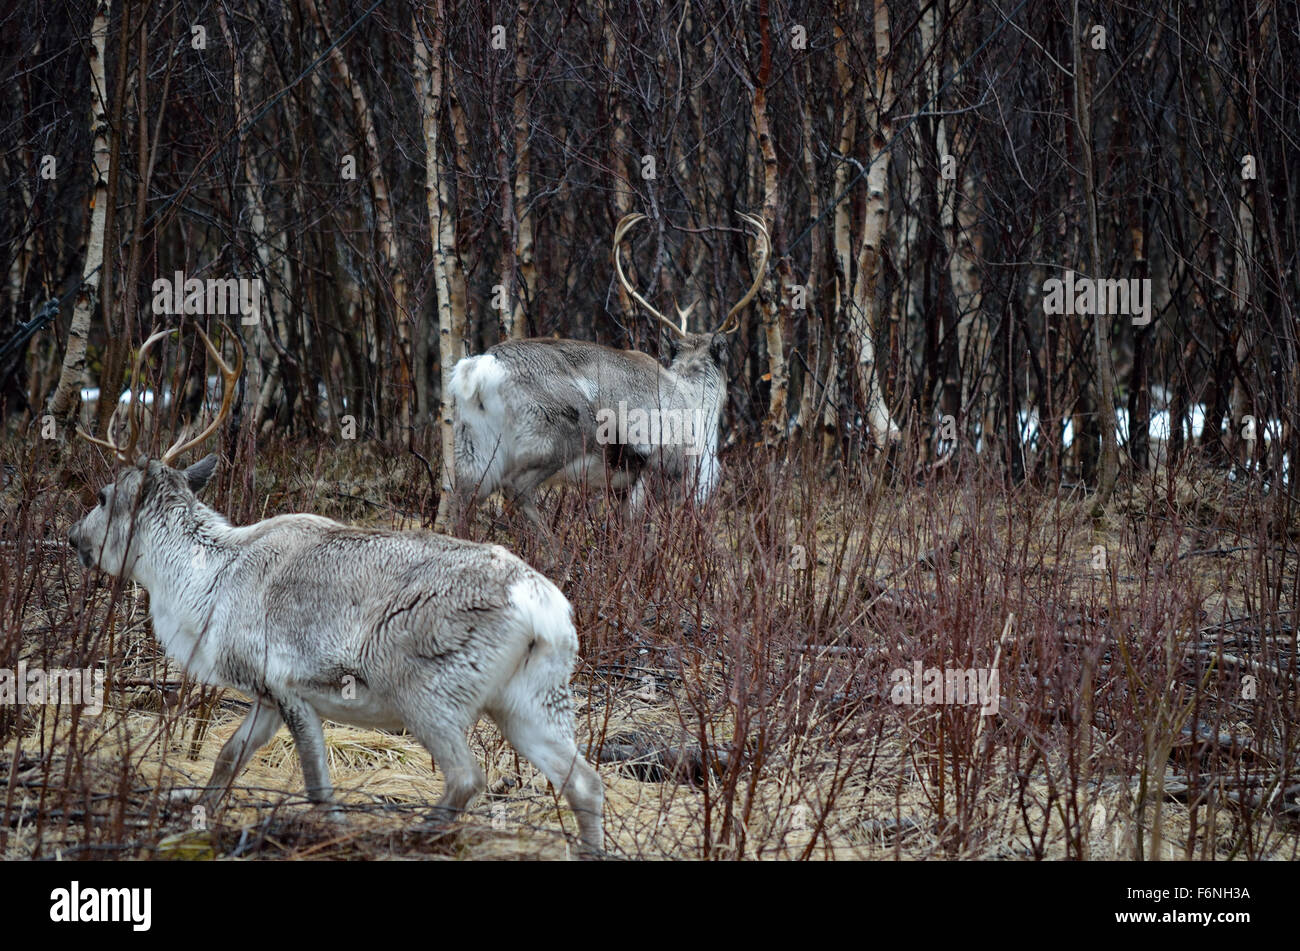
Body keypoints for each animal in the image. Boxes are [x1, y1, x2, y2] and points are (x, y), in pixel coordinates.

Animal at [68, 322, 604, 851]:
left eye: (103, 496)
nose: (74, 537)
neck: (206, 582)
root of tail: (543, 609)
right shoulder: (264, 698)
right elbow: (227, 757)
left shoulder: (288, 687)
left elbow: (317, 786)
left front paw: (334, 833)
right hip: (530, 699)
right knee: (585, 782)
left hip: (428, 693)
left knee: (468, 776)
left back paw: (408, 835)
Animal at [451, 212, 769, 529]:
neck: (694, 399)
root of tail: (480, 367)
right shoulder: (661, 464)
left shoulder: (623, 483)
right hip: (554, 439)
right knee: (515, 487)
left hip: (472, 447)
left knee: (462, 498)